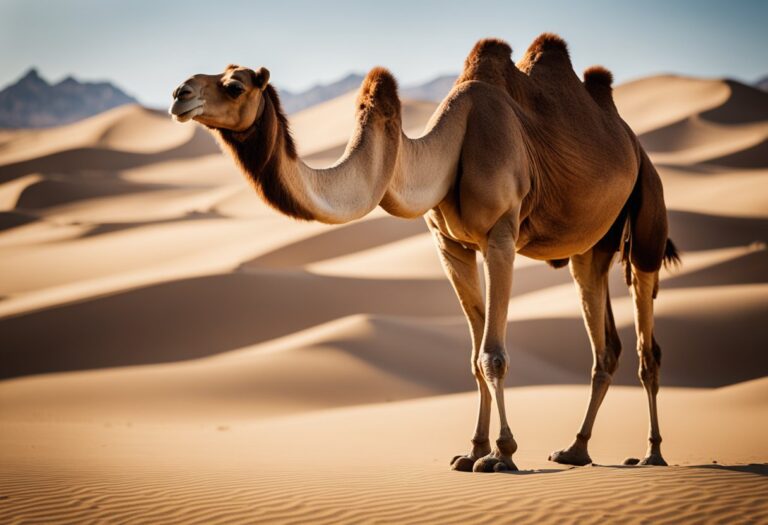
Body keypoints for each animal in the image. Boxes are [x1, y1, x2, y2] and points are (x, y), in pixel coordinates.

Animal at [169, 33, 679, 472]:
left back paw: (652, 454)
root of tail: (634, 144)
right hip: (590, 249)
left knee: (647, 342)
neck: (449, 148)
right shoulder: (450, 245)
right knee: (604, 345)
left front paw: (502, 454)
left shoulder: (500, 236)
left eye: (234, 85)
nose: (179, 92)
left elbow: (493, 354)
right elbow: (474, 359)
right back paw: (575, 450)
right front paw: (471, 452)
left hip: (647, 219)